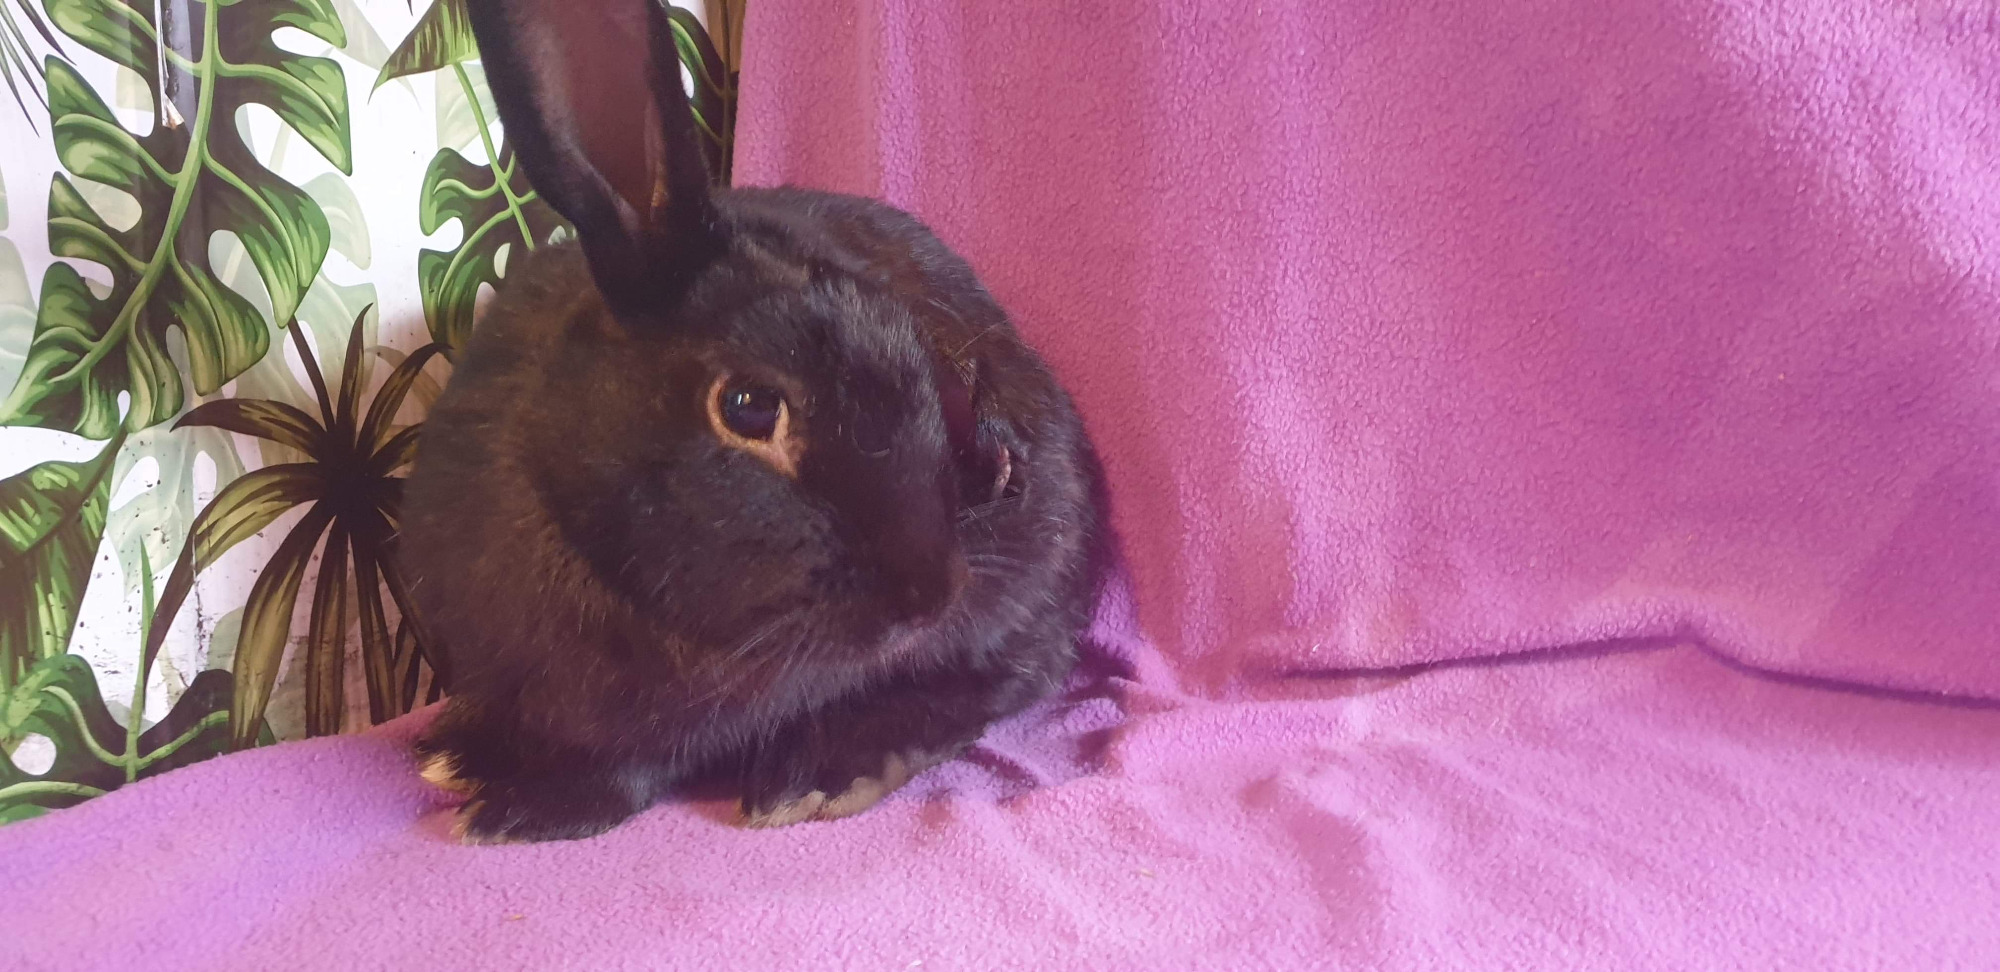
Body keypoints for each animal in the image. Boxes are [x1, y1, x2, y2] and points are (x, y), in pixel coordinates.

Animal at [399, 0, 1110, 843]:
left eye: (944, 394)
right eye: (749, 408)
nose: (930, 595)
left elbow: (629, 770)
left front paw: (518, 810)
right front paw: (466, 757)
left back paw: (818, 772)